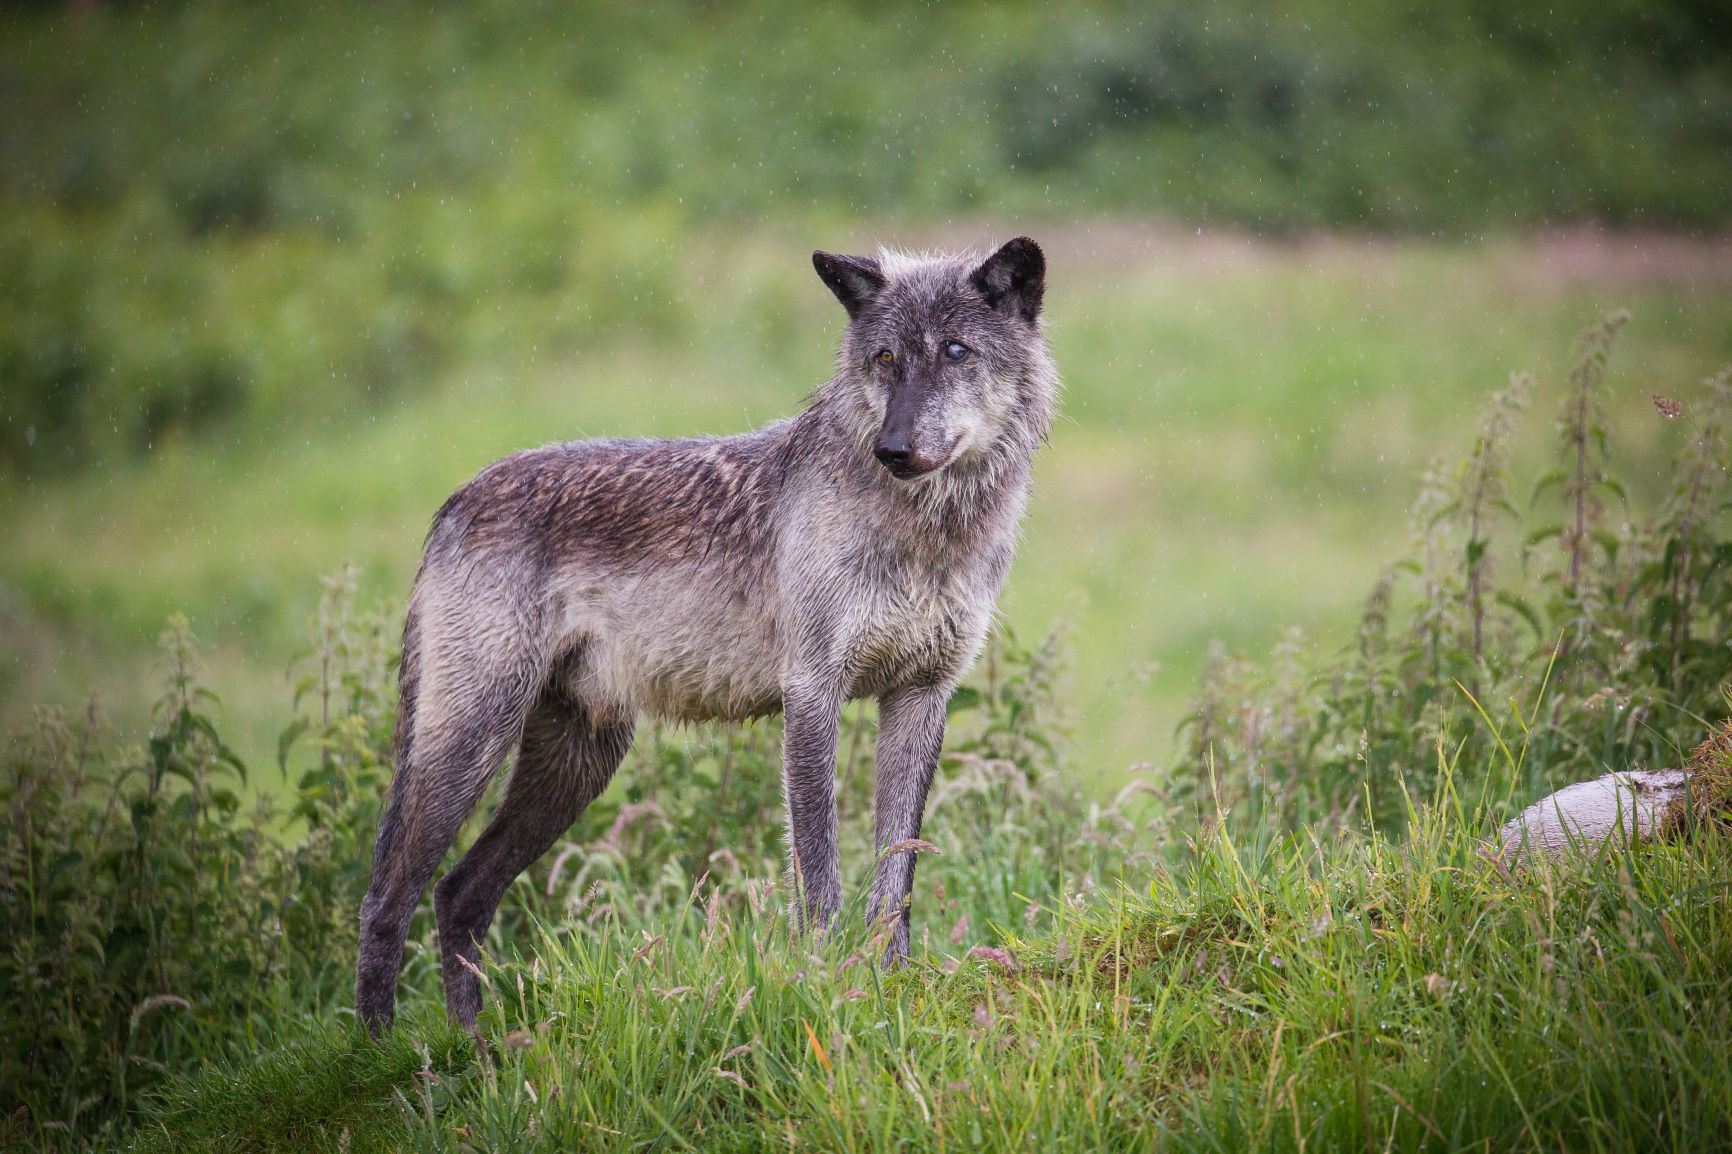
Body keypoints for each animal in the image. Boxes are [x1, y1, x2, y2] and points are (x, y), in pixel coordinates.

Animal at [355, 232, 1053, 1025]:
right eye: (884, 359)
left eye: (956, 351)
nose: (894, 448)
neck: (930, 529)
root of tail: (453, 502)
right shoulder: (813, 692)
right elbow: (819, 877)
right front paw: (828, 986)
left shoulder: (921, 696)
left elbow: (895, 881)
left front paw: (892, 989)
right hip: (475, 743)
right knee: (387, 900)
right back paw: (387, 1050)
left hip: (576, 764)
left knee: (458, 894)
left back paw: (480, 1045)